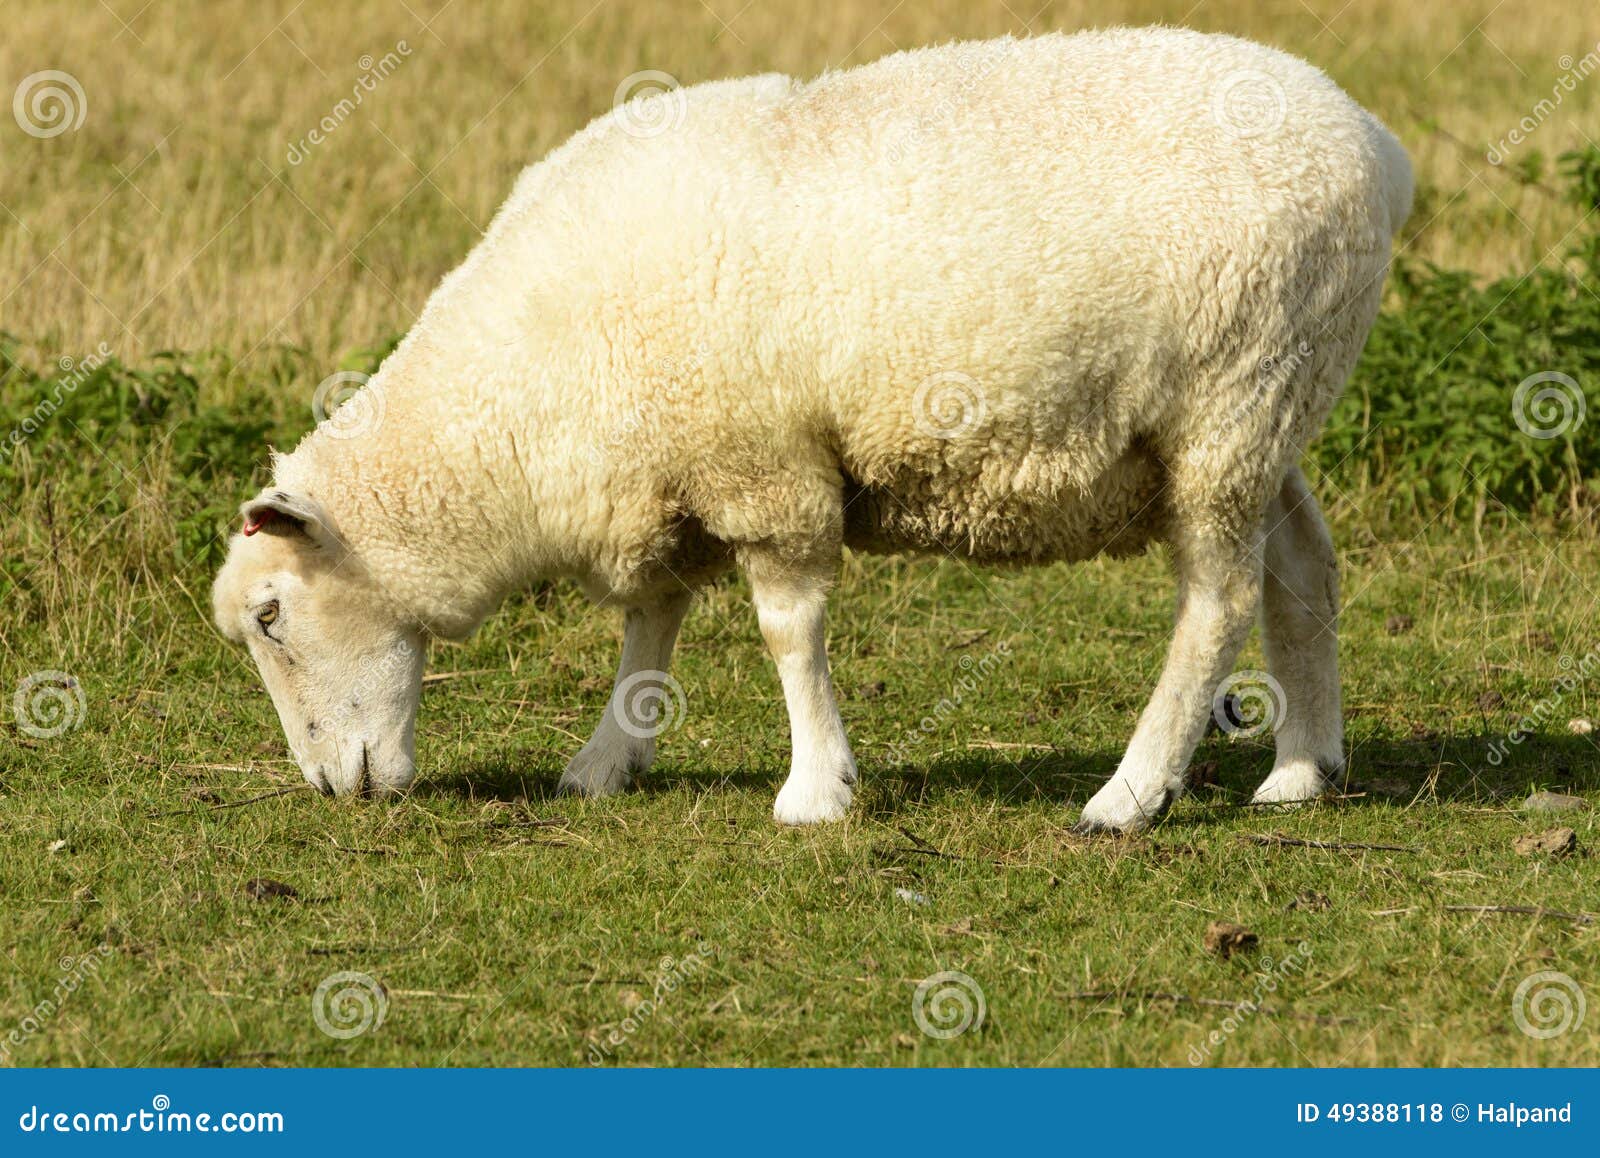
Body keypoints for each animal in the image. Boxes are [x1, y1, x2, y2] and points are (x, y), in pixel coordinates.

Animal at [212, 27, 1413, 832]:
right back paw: (1301, 771)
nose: (332, 787)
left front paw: (815, 791)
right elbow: (649, 627)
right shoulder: (674, 473)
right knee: (1303, 570)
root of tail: (1375, 145)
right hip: (1273, 407)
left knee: (1218, 601)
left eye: (271, 617)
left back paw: (1131, 792)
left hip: (1228, 404)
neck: (528, 400)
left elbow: (788, 631)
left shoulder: (761, 465)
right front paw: (607, 760)